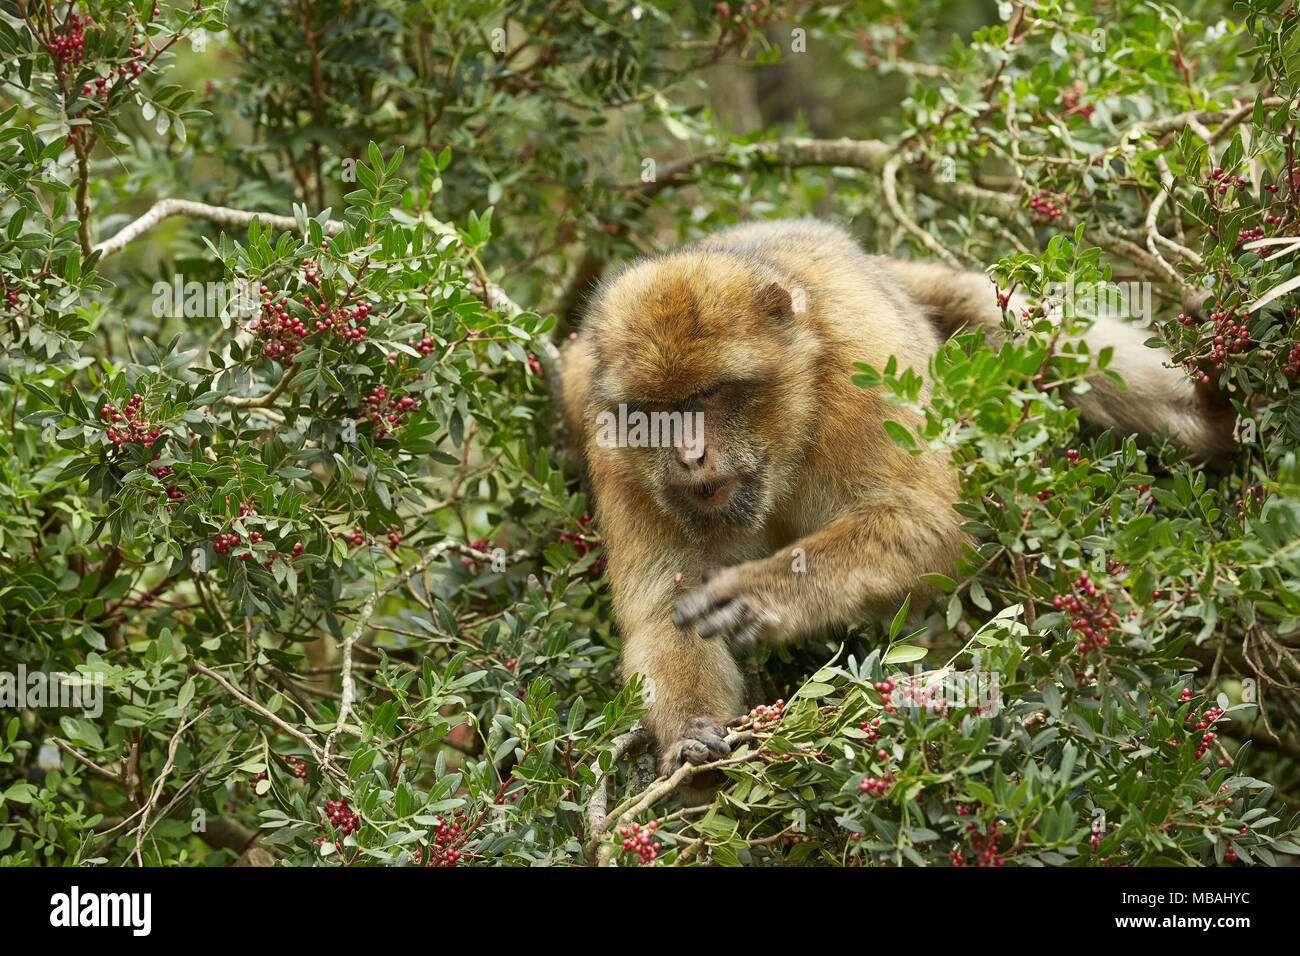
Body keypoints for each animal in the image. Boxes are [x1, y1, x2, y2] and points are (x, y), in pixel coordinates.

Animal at [560, 217, 1234, 784]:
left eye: (710, 395)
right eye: (657, 413)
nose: (690, 456)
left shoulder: (862, 372)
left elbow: (932, 523)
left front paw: (760, 595)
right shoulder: (614, 449)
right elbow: (661, 614)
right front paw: (690, 741)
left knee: (998, 312)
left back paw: (1209, 419)